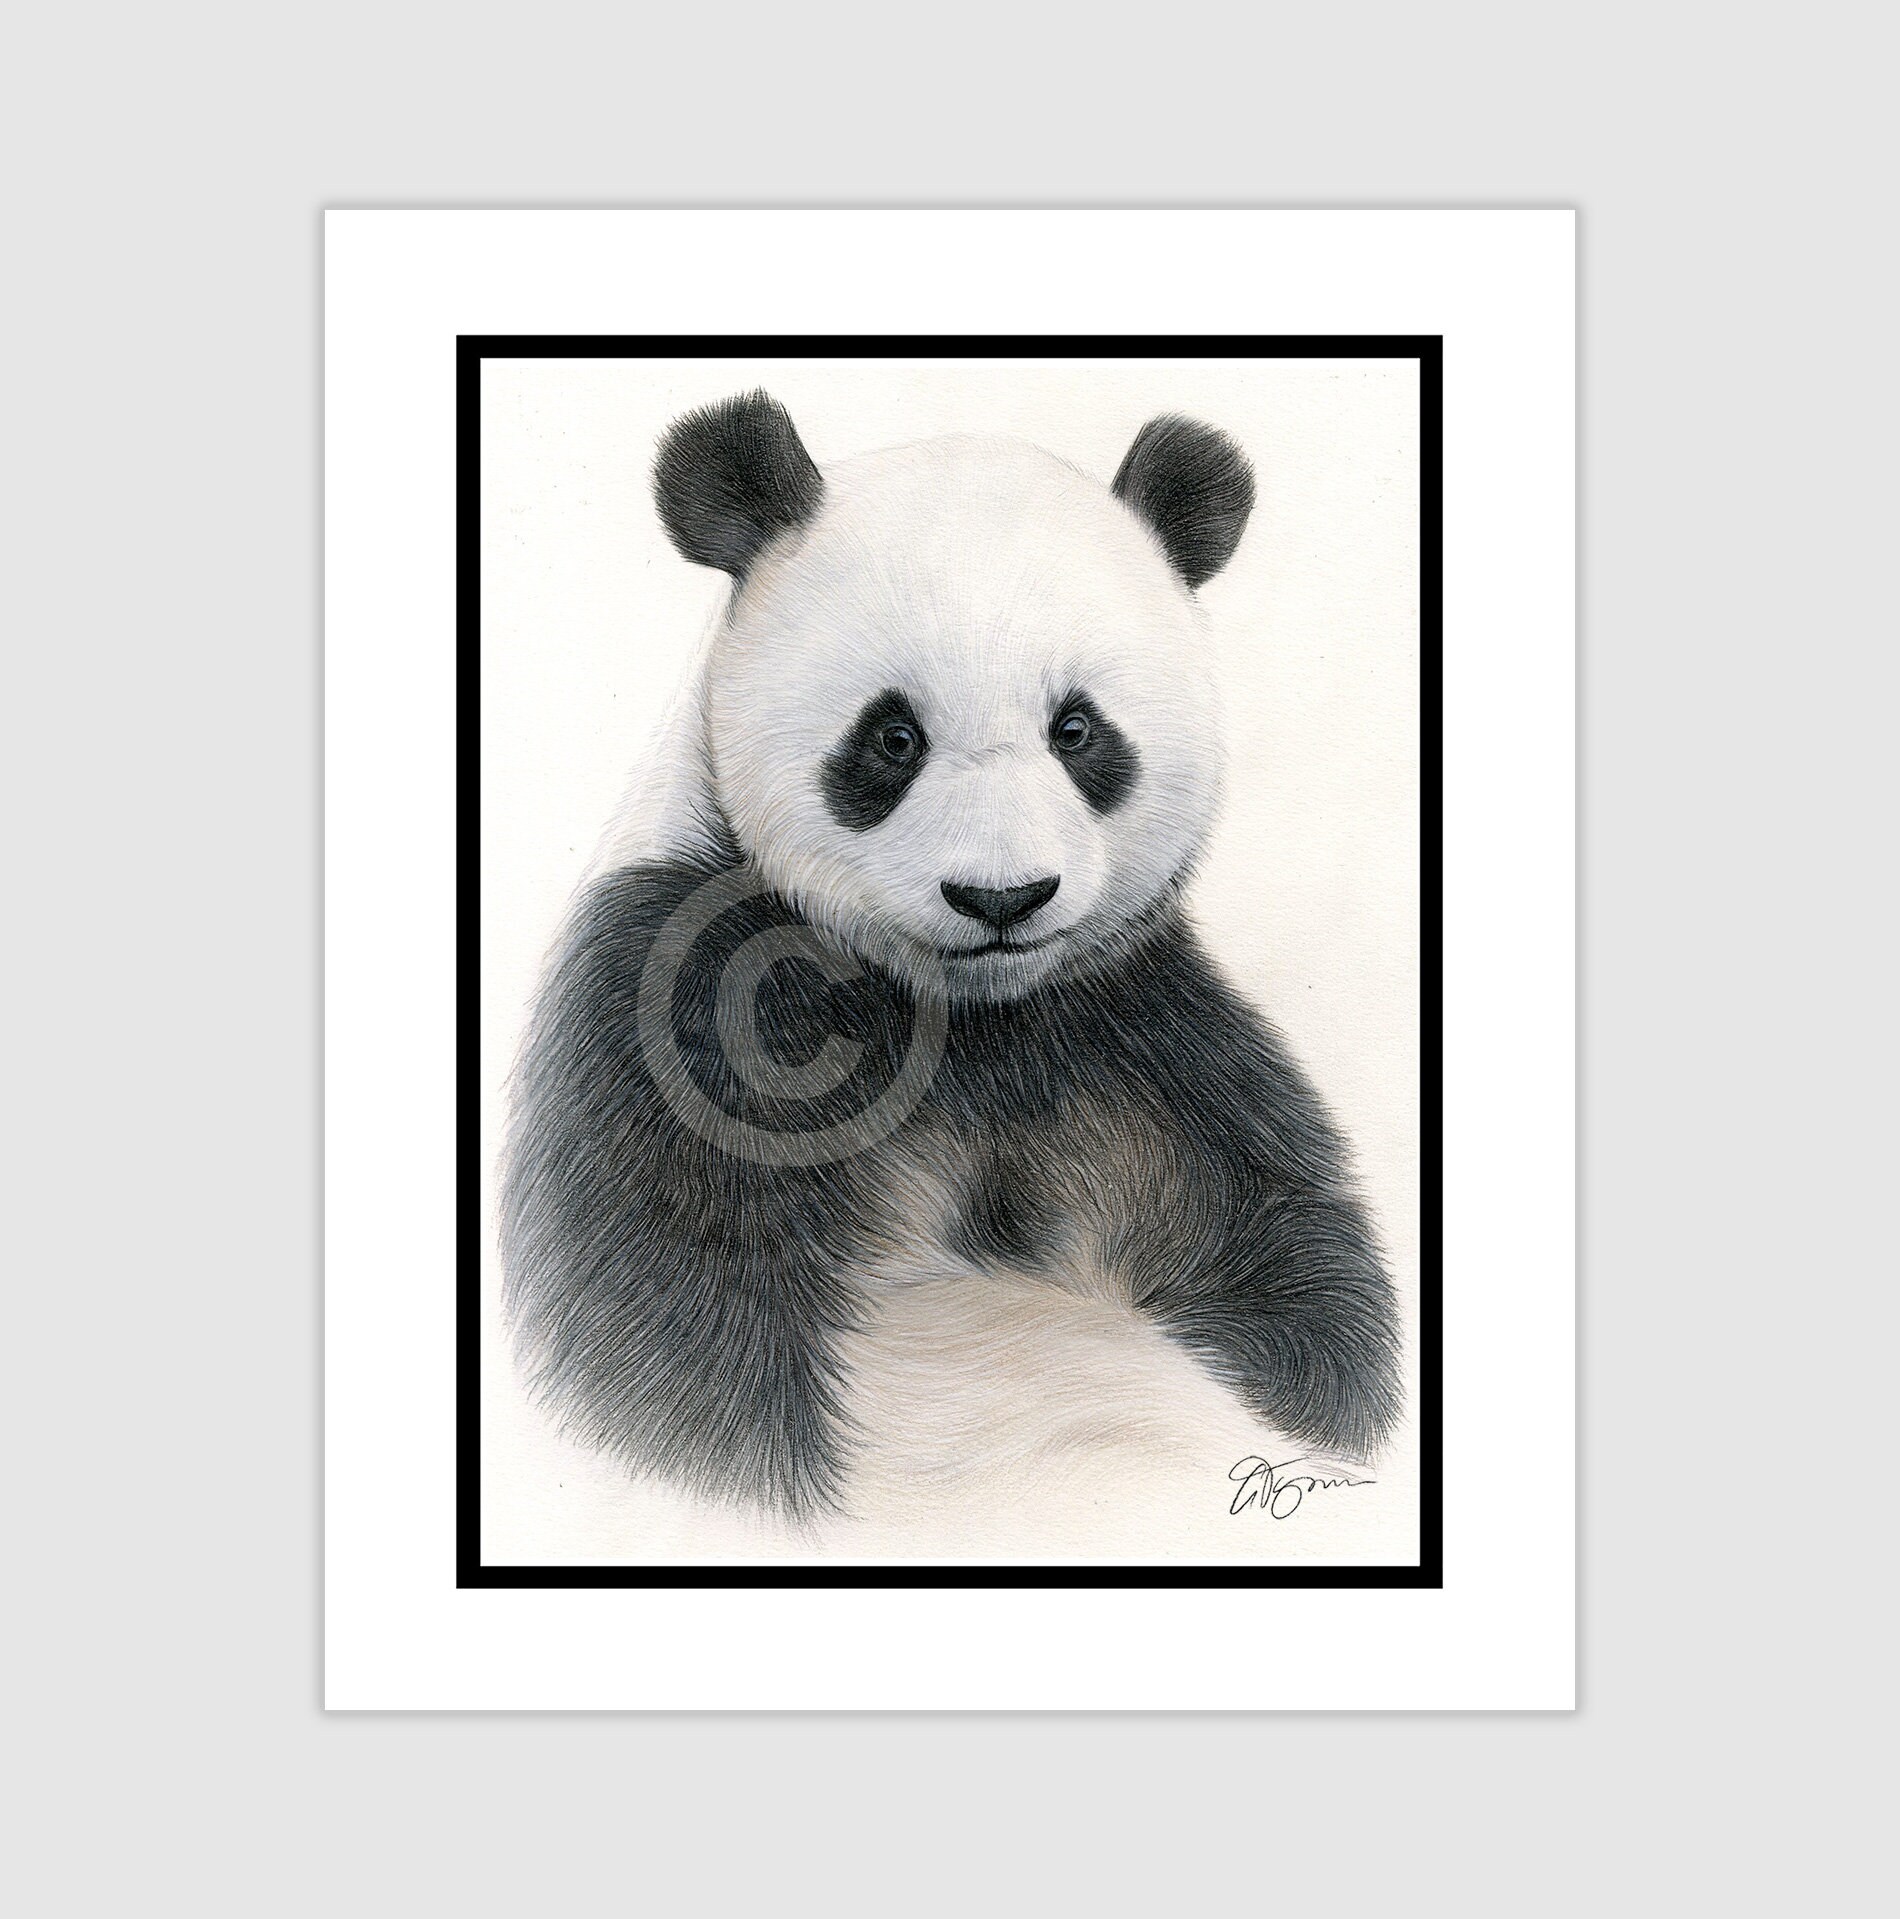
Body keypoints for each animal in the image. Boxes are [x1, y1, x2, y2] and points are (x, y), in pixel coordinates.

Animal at [500, 391, 1401, 1532]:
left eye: (1077, 730)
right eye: (892, 737)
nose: (1001, 897)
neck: (958, 1018)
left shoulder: (1137, 1035)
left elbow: (1290, 1267)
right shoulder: (671, 999)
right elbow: (668, 1338)